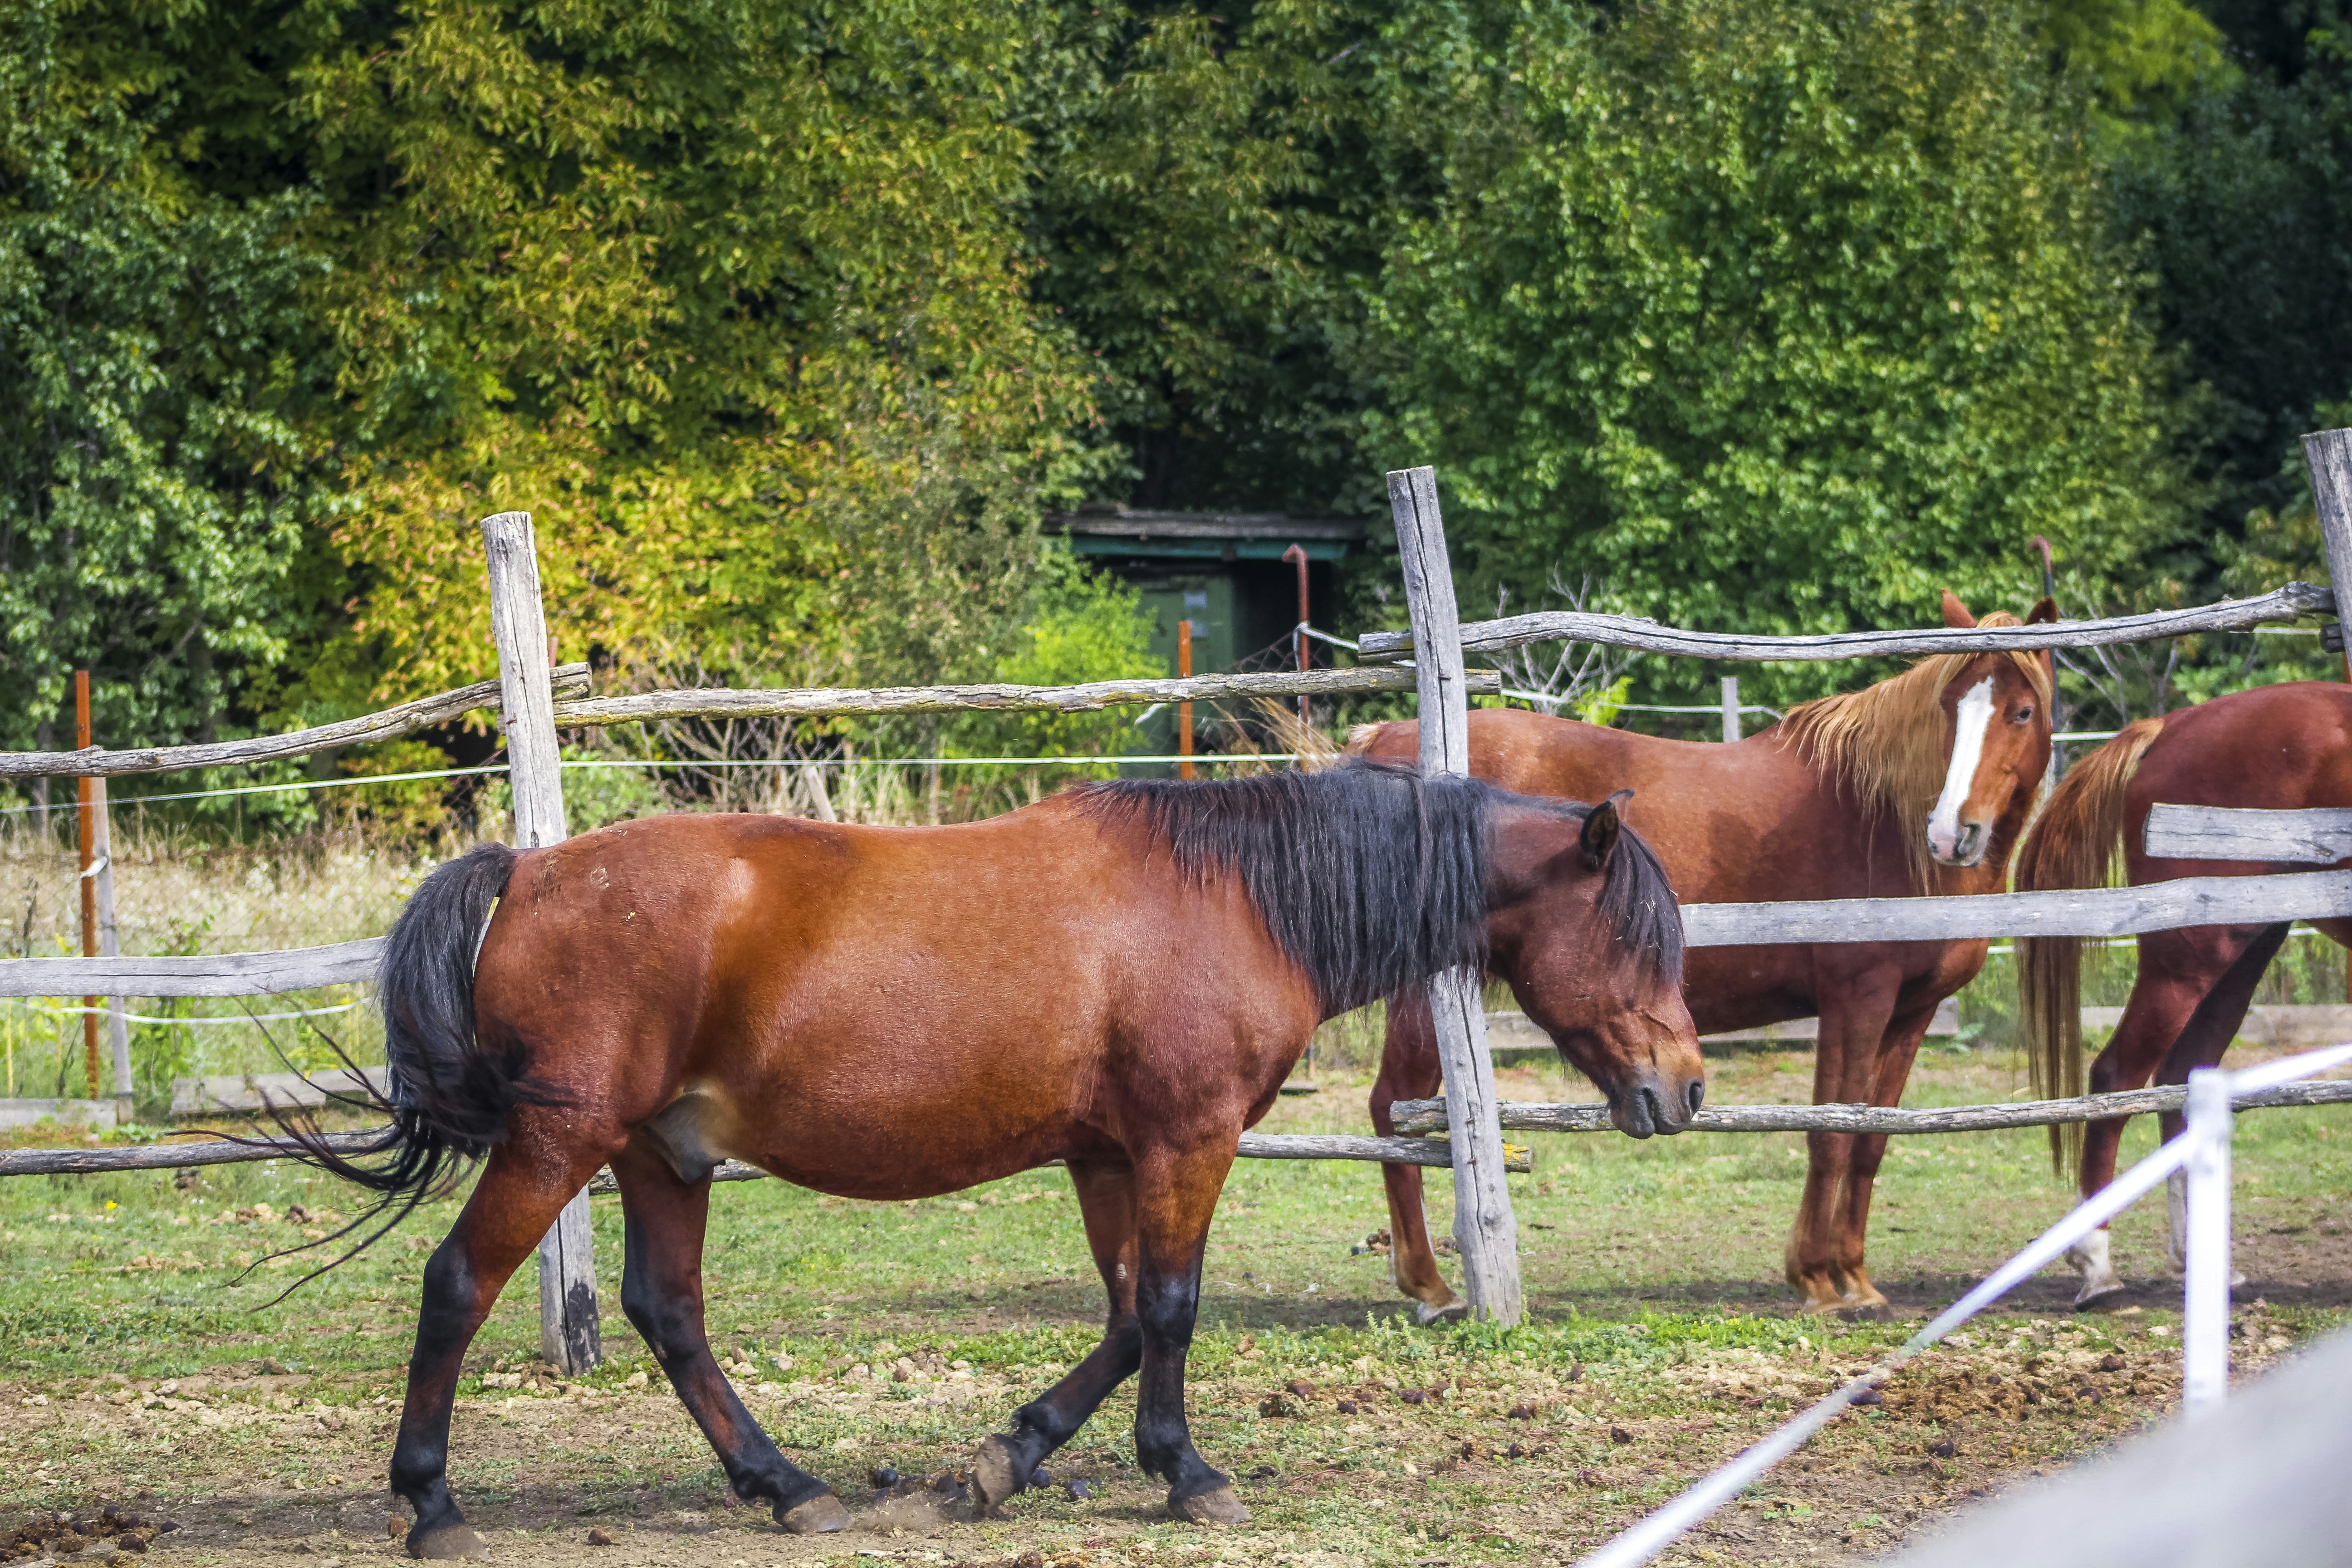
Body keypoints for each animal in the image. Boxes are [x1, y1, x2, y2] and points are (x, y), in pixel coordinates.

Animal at [306, 761, 1700, 1557]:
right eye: (1635, 939)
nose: (1681, 1088)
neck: (1237, 897)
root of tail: (533, 869)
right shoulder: (1185, 1140)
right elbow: (1172, 1308)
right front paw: (1187, 1474)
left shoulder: (1108, 1154)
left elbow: (1129, 1313)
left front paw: (1002, 1461)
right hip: (561, 1142)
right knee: (459, 1286)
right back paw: (431, 1505)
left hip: (663, 1154)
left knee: (671, 1314)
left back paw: (788, 1486)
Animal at [1352, 593, 2056, 1318]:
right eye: (1949, 707)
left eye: (2021, 712)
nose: (1952, 833)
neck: (1881, 817)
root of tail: (1383, 738)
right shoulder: (1856, 1001)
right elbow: (1829, 1132)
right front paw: (1816, 1276)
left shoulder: (1912, 1013)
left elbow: (1871, 1141)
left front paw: (1855, 1277)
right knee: (1391, 1109)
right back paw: (1430, 1283)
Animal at [2016, 680, 2352, 1308]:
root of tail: (2171, 728)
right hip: (2187, 962)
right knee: (2117, 1078)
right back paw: (2097, 1264)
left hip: (2241, 956)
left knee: (2180, 1080)